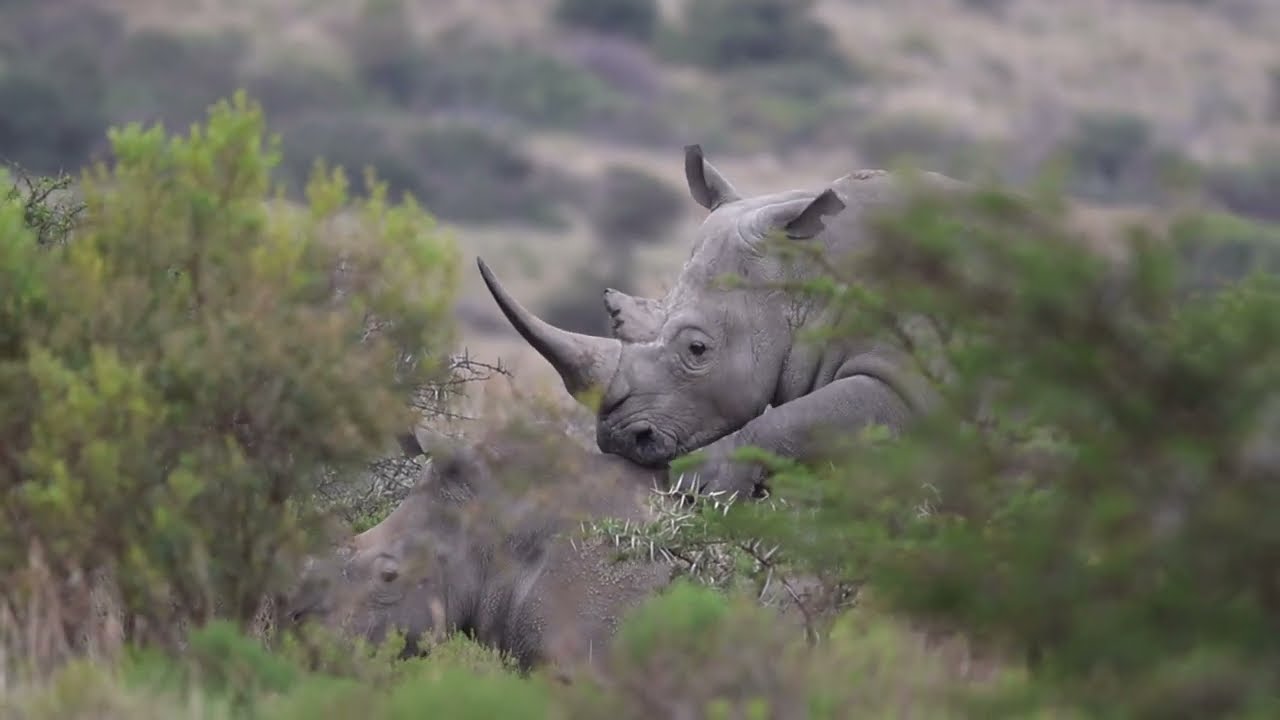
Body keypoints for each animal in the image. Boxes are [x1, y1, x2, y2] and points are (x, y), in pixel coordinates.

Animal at [477, 145, 959, 498]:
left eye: (697, 349)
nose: (620, 440)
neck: (809, 282)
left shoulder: (910, 381)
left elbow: (800, 418)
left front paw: (703, 484)